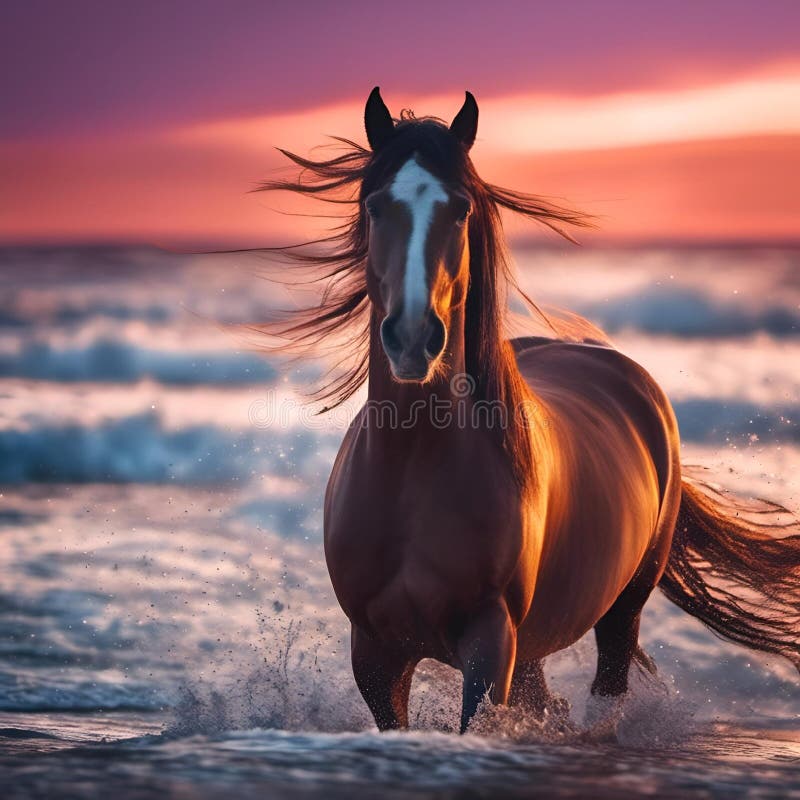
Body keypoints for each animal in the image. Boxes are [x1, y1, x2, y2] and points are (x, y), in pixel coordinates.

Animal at [257, 87, 800, 734]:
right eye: (375, 205)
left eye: (460, 209)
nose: (412, 338)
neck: (414, 470)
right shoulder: (375, 654)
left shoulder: (490, 643)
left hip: (622, 608)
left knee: (608, 686)